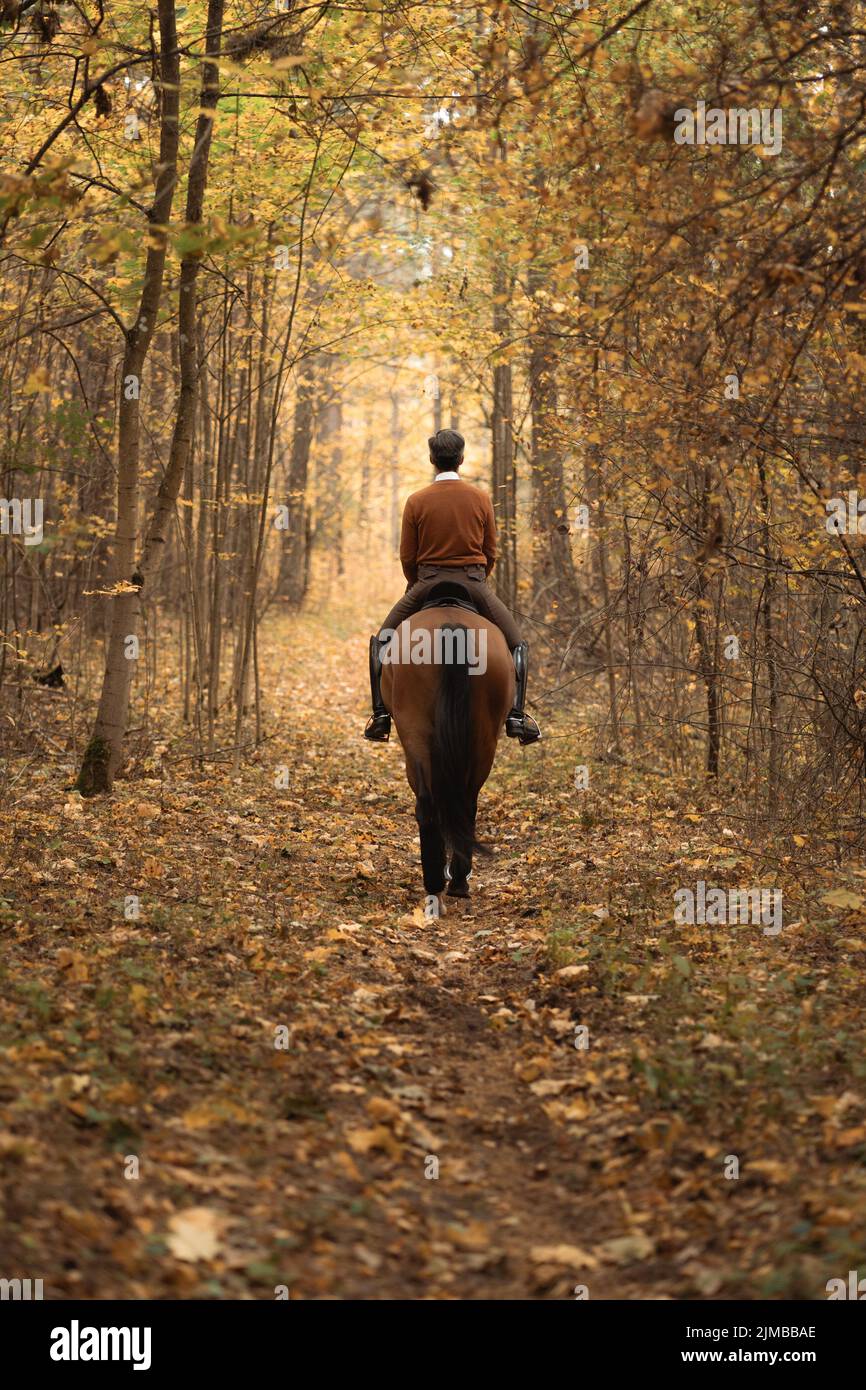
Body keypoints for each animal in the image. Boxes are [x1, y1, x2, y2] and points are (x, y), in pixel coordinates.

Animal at [380, 584, 513, 904]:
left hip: (418, 730)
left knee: (436, 800)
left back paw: (440, 881)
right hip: (480, 738)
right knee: (462, 801)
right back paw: (450, 881)